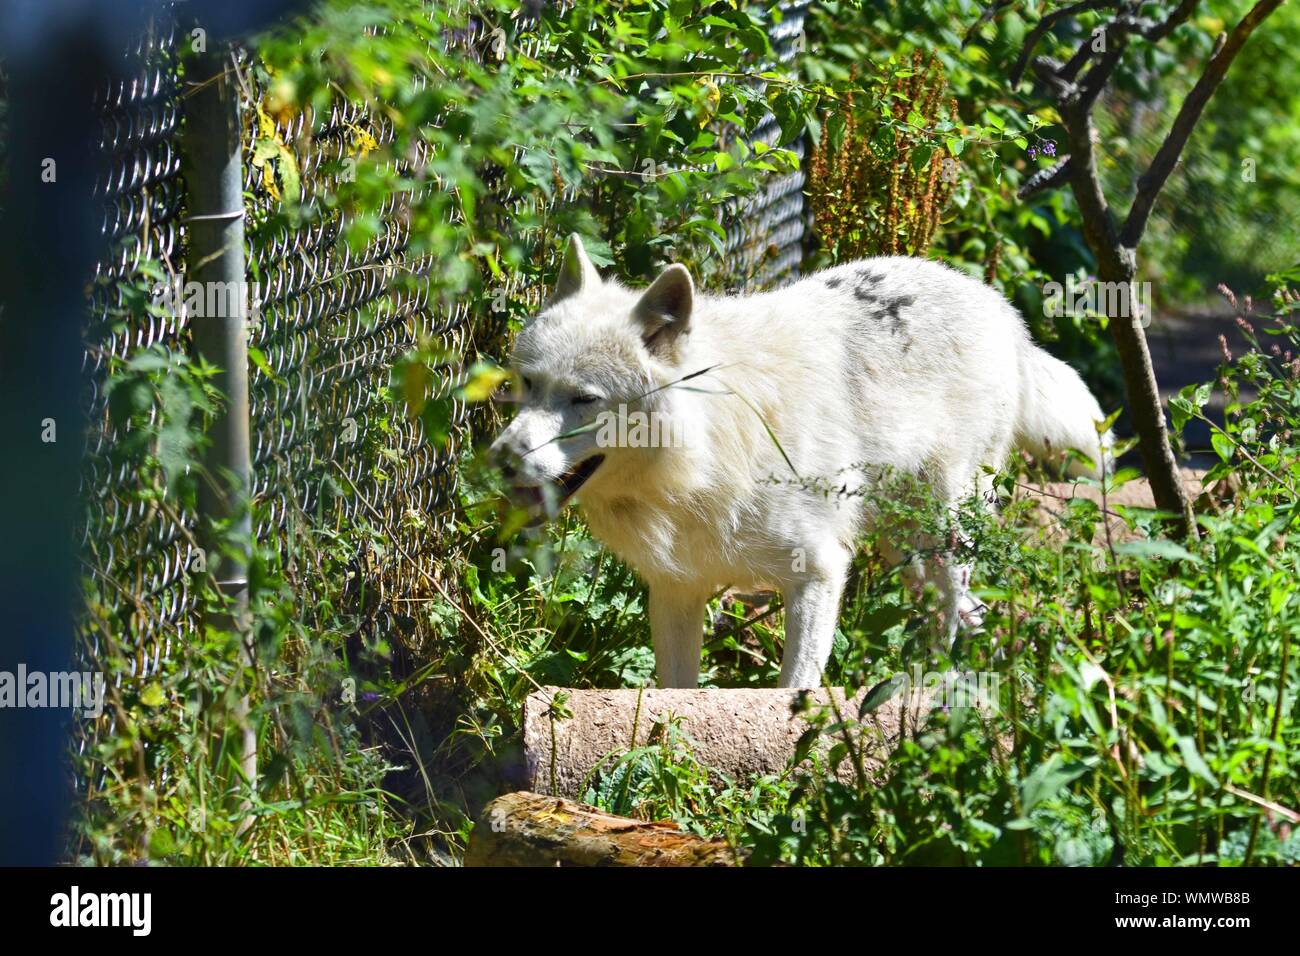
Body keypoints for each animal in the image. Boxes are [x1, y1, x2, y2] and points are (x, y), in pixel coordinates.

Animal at [491, 235, 1112, 688]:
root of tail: (1003, 312)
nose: (501, 457)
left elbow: (796, 687)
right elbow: (676, 693)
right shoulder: (677, 589)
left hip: (942, 531)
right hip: (906, 549)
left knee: (954, 615)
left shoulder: (818, 572)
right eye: (530, 383)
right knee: (963, 612)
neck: (708, 457)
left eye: (584, 400)